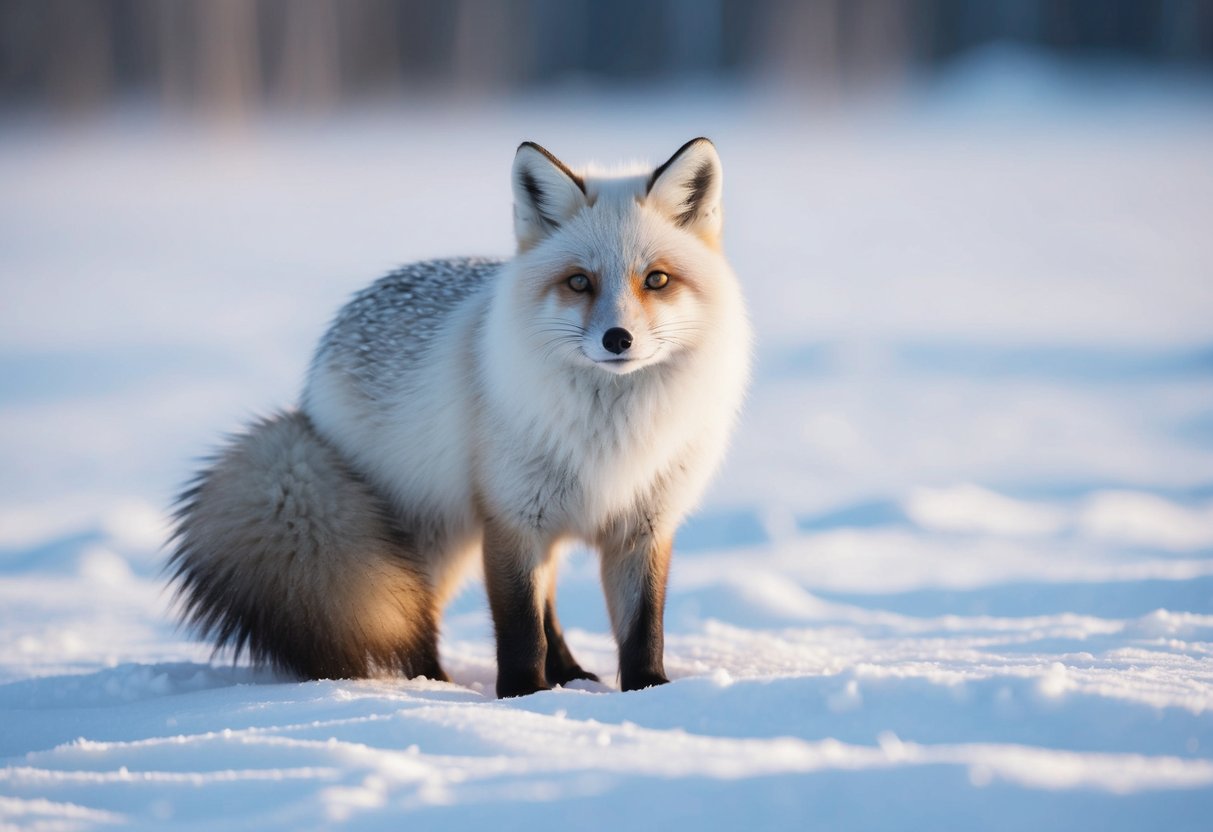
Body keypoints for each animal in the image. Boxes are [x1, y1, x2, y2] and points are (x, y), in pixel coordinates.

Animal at [168, 137, 751, 698]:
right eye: (580, 283)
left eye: (657, 280)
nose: (617, 339)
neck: (612, 433)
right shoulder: (511, 519)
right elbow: (520, 626)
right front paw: (522, 695)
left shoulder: (643, 525)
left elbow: (641, 627)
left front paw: (648, 692)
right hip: (421, 549)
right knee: (415, 618)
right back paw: (435, 683)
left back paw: (571, 675)